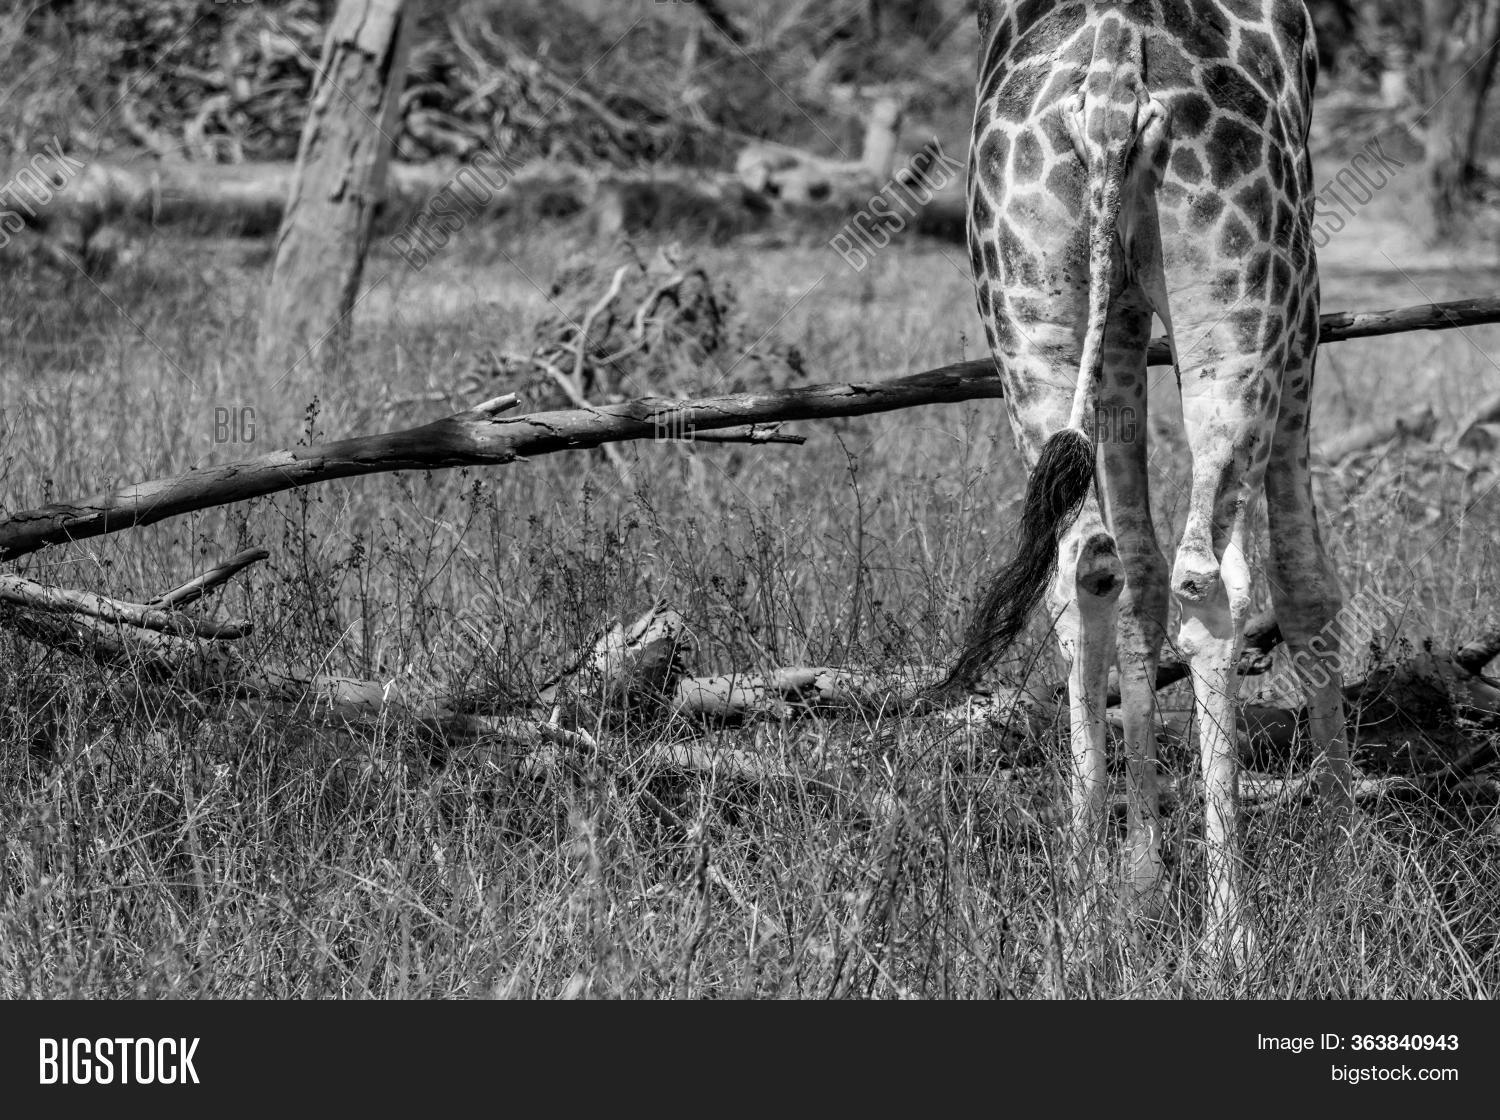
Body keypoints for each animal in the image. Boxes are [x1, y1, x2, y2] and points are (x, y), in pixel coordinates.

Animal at [942, 0, 1352, 952]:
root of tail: (1112, 84)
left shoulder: (1123, 311)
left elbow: (1136, 575)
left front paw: (1138, 877)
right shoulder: (1303, 306)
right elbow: (1303, 578)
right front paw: (1345, 832)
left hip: (1029, 310)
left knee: (1085, 563)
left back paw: (1086, 898)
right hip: (1247, 300)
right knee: (1206, 577)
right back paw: (1231, 934)